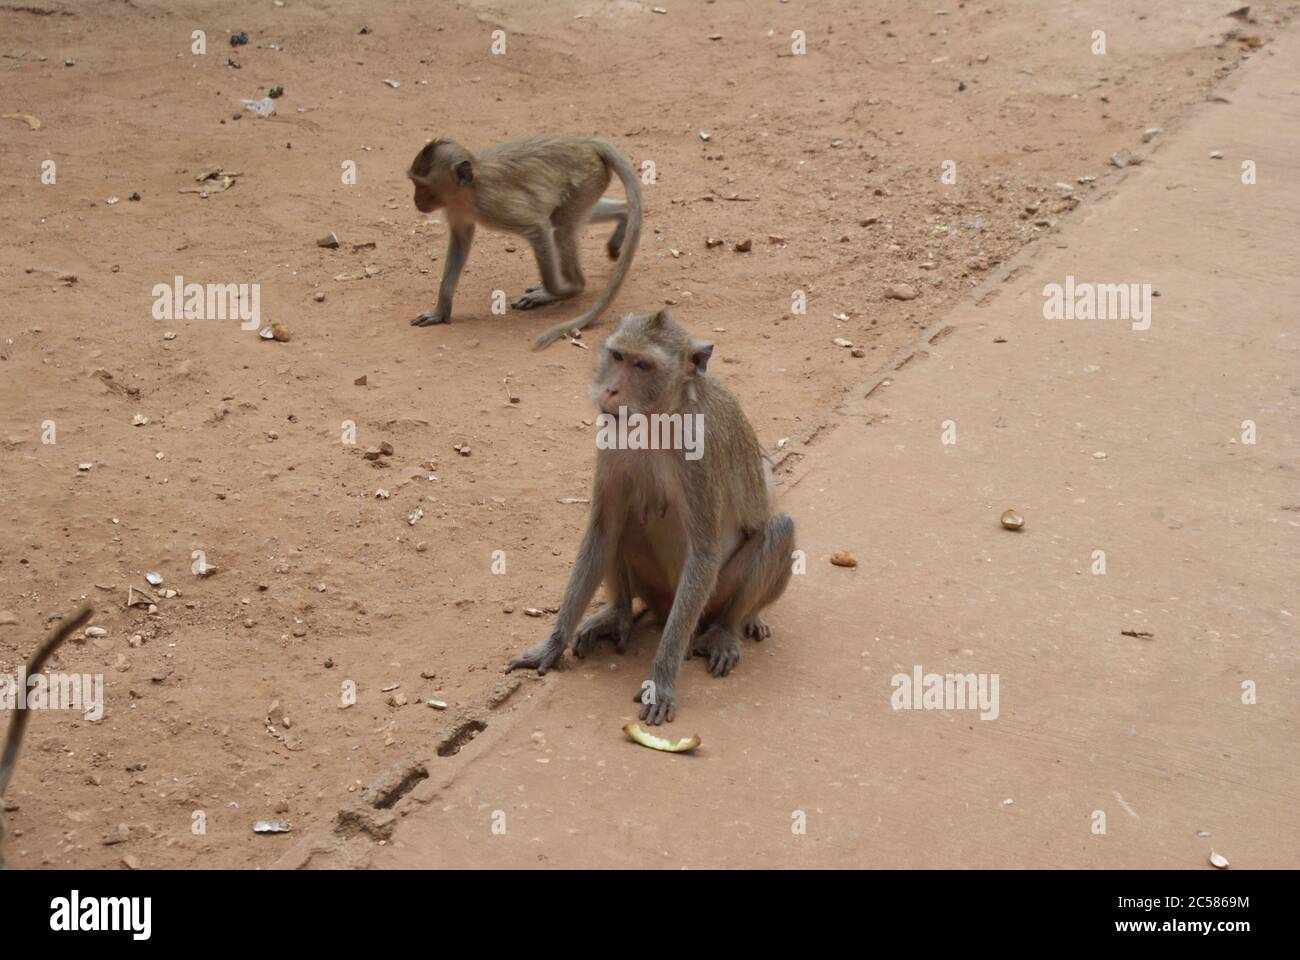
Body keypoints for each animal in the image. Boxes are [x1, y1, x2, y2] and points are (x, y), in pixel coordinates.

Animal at [406, 135, 643, 349]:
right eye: (414, 183)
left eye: (423, 186)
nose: (416, 200)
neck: (470, 189)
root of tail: (586, 143)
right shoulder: (456, 209)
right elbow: (460, 240)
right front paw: (441, 311)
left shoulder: (491, 204)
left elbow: (537, 227)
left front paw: (551, 292)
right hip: (591, 183)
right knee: (564, 218)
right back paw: (623, 215)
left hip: (586, 180)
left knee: (561, 228)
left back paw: (574, 285)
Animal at [505, 311, 796, 724]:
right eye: (617, 356)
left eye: (642, 366)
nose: (610, 391)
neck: (660, 418)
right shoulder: (611, 435)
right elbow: (603, 529)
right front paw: (553, 642)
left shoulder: (699, 455)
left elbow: (705, 552)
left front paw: (660, 680)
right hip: (655, 590)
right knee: (621, 524)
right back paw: (618, 614)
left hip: (709, 600)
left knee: (779, 529)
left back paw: (729, 627)